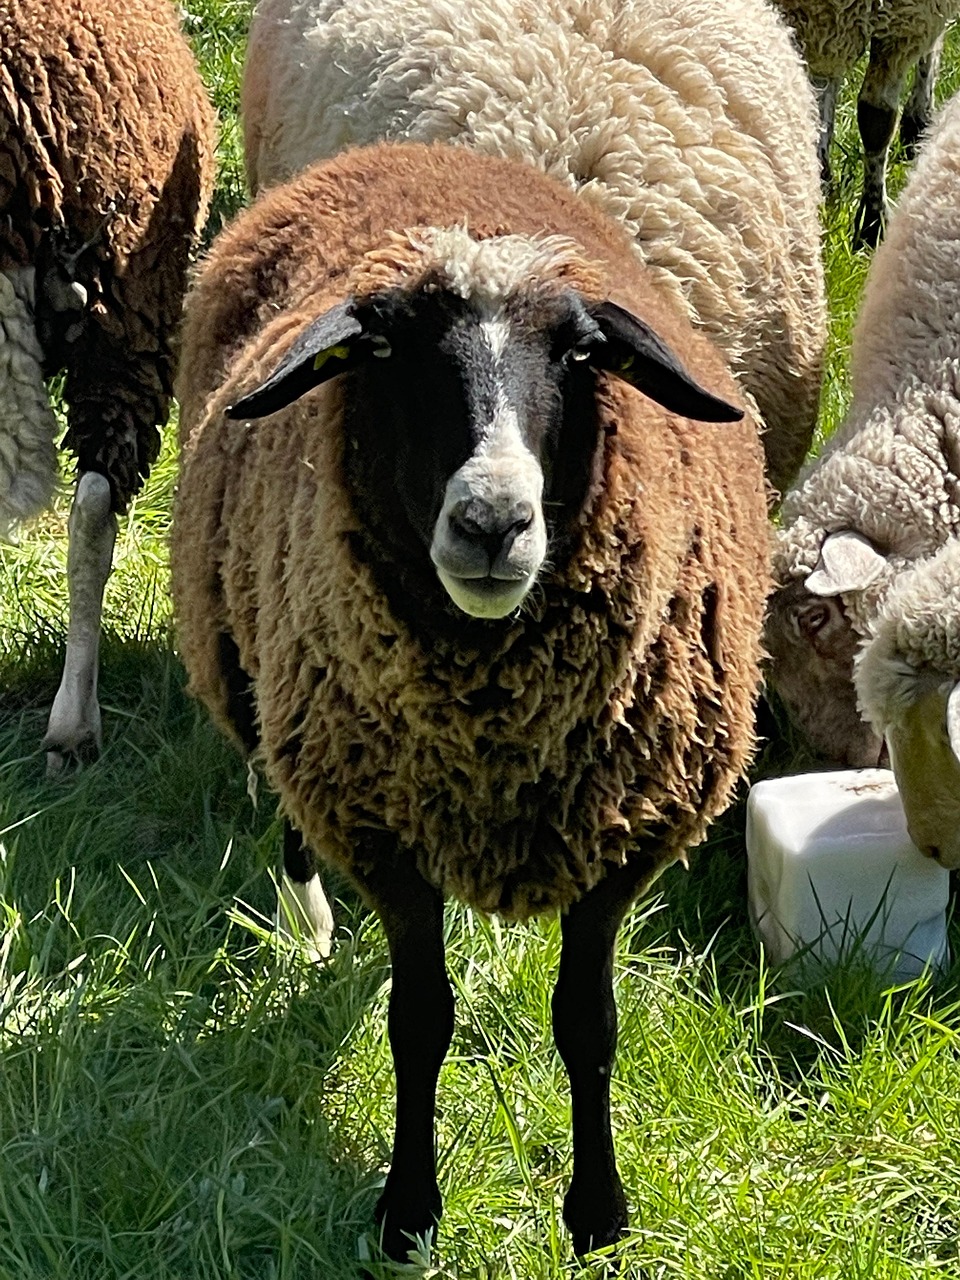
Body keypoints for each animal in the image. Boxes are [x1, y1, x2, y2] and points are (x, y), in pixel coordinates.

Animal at [0, 0, 215, 771]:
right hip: (130, 305)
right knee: (94, 505)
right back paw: (73, 726)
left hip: (127, 308)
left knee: (92, 503)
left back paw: (72, 724)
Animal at [170, 140, 771, 1261]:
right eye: (389, 351)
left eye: (581, 354)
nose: (492, 521)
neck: (496, 720)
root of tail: (418, 150)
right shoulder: (383, 830)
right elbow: (421, 1022)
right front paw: (408, 1210)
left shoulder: (625, 838)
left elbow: (588, 1023)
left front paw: (598, 1213)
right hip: (270, 671)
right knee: (280, 787)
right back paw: (308, 916)